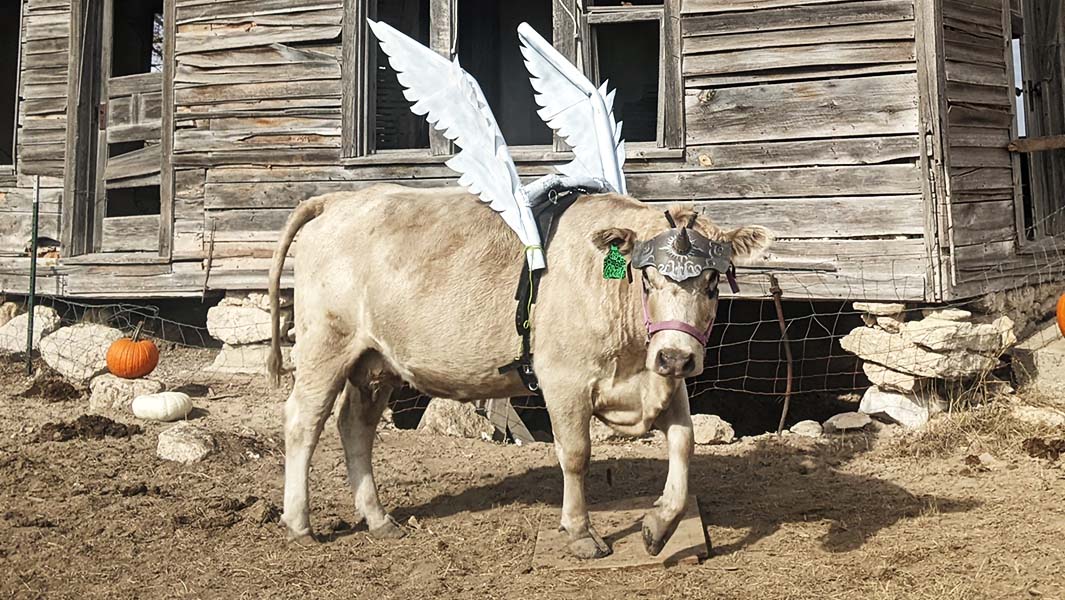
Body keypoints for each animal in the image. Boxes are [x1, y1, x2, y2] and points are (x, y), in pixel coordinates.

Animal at [267, 183, 771, 559]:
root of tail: (338, 200)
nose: (677, 358)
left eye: (712, 282)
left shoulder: (656, 378)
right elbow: (576, 454)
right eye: (647, 278)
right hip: (325, 346)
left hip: (374, 362)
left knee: (355, 425)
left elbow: (685, 442)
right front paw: (581, 533)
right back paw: (299, 523)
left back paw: (378, 519)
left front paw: (658, 525)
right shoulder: (565, 379)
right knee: (303, 421)